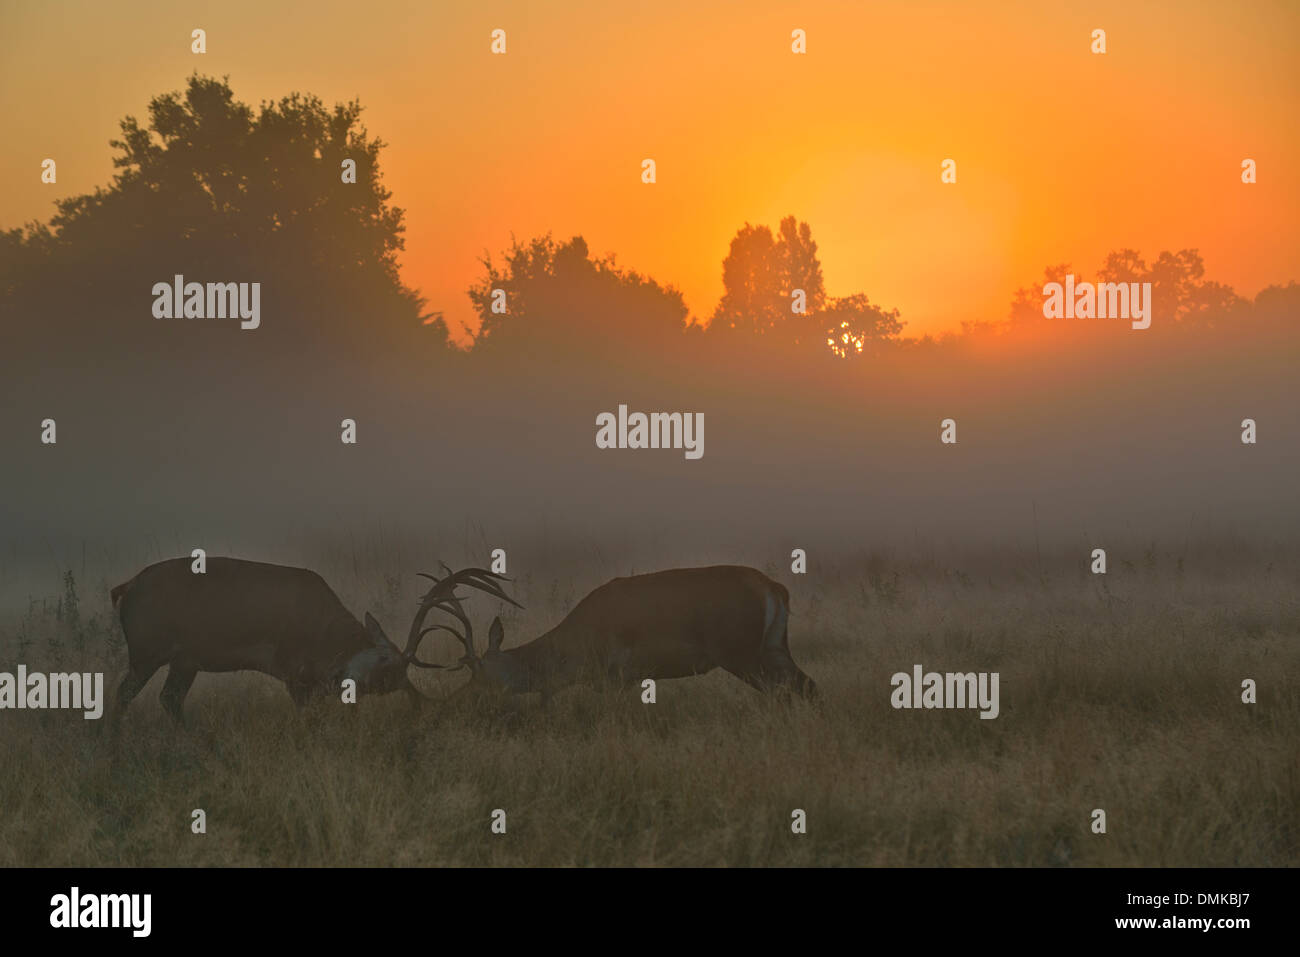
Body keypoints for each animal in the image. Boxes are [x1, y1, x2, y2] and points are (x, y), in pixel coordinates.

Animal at [109, 557, 514, 725]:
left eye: (384, 685)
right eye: (385, 660)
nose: (343, 681)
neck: (324, 634)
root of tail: (125, 588)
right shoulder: (291, 668)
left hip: (184, 659)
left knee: (167, 698)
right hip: (148, 651)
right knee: (125, 694)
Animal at [417, 563, 816, 702]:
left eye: (479, 673)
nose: (456, 700)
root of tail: (774, 589)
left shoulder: (614, 673)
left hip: (740, 652)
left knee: (781, 692)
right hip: (773, 647)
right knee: (808, 686)